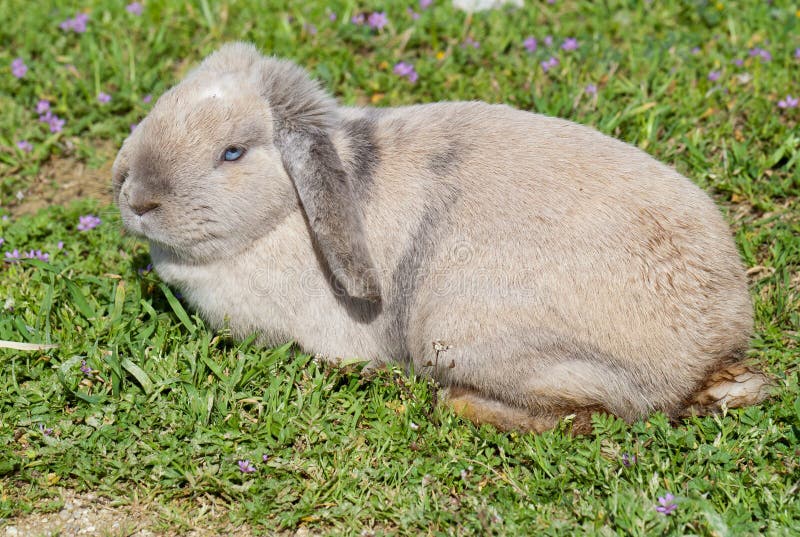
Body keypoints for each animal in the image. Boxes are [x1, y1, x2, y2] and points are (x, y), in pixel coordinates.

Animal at [113, 42, 771, 434]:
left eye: (232, 152)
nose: (134, 195)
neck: (284, 216)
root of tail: (707, 354)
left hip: (463, 330)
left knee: (588, 412)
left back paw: (452, 401)